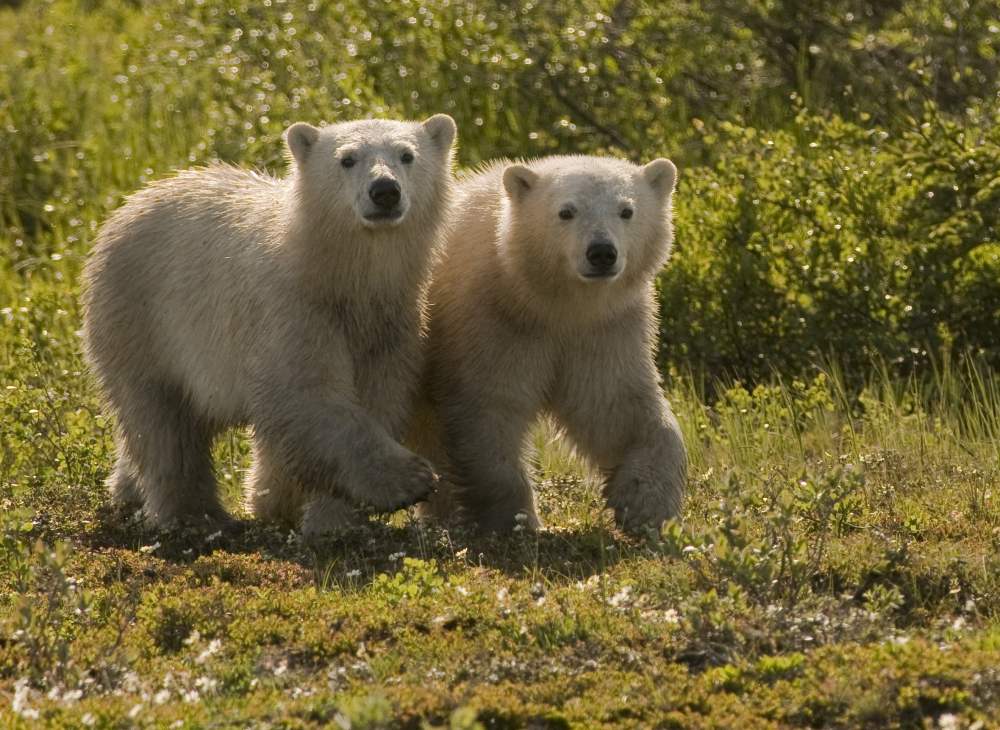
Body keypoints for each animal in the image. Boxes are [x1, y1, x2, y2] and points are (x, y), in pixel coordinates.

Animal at [82, 114, 457, 536]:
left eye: (407, 155)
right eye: (347, 159)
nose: (385, 191)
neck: (335, 276)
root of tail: (130, 203)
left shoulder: (390, 323)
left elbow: (377, 395)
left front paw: (329, 517)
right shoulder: (293, 310)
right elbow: (308, 395)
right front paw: (411, 478)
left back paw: (129, 491)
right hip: (141, 317)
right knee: (161, 422)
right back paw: (194, 515)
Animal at [415, 154, 687, 533]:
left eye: (626, 210)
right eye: (566, 211)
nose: (601, 252)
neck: (546, 302)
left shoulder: (601, 330)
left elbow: (614, 404)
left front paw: (646, 504)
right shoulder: (494, 322)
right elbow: (490, 406)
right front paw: (516, 519)